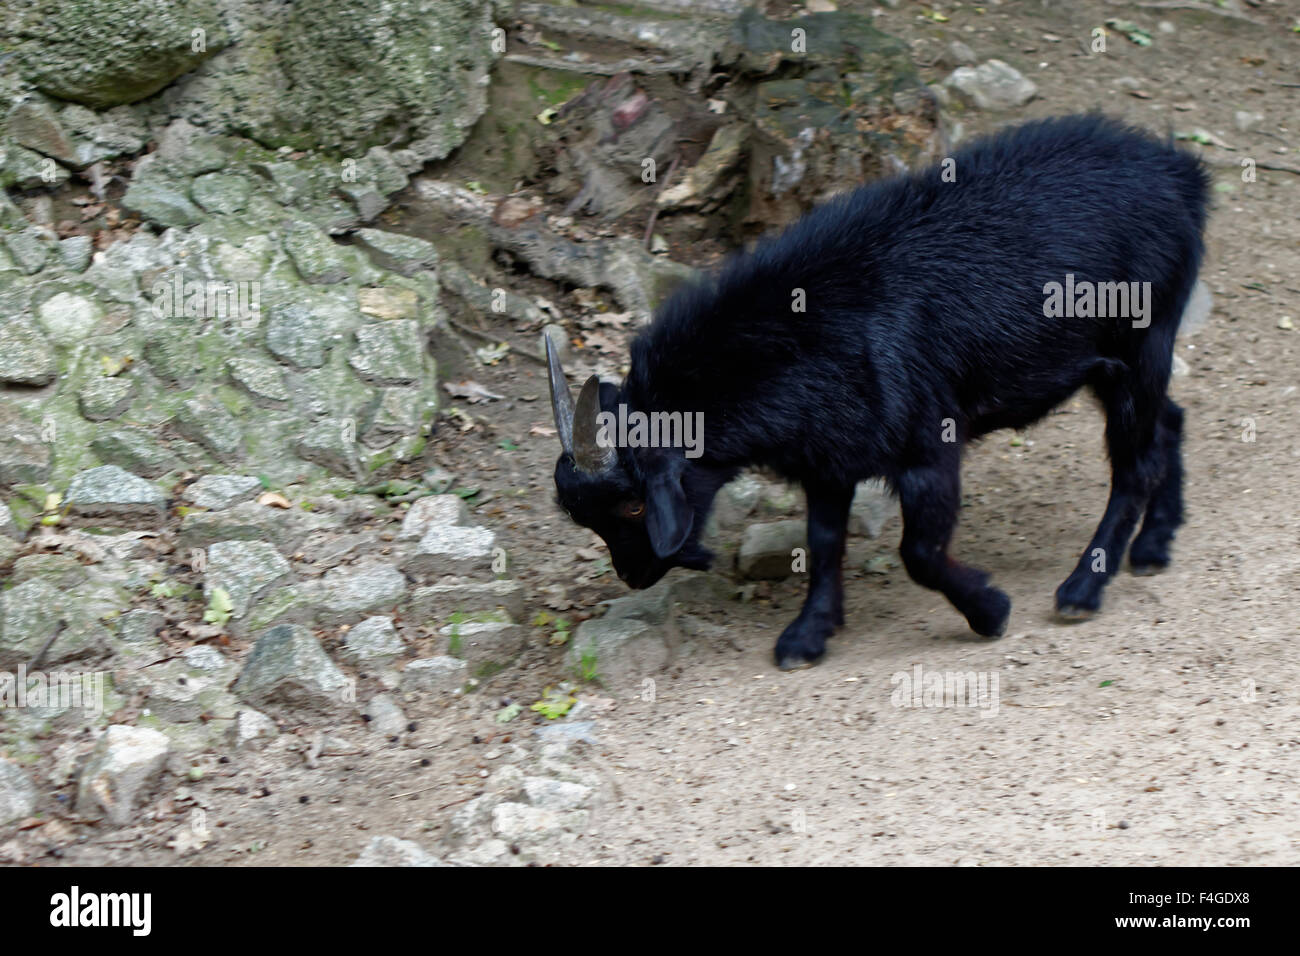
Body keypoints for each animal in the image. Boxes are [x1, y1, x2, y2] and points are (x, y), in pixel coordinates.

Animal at [547, 114, 1210, 669]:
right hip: (1118, 365)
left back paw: (1083, 587)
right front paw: (807, 636)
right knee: (1169, 423)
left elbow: (919, 552)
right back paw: (1154, 544)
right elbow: (822, 543)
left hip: (1141, 345)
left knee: (1135, 463)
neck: (808, 331)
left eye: (634, 506)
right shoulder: (828, 462)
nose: (634, 576)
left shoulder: (928, 450)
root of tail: (1182, 173)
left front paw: (990, 610)